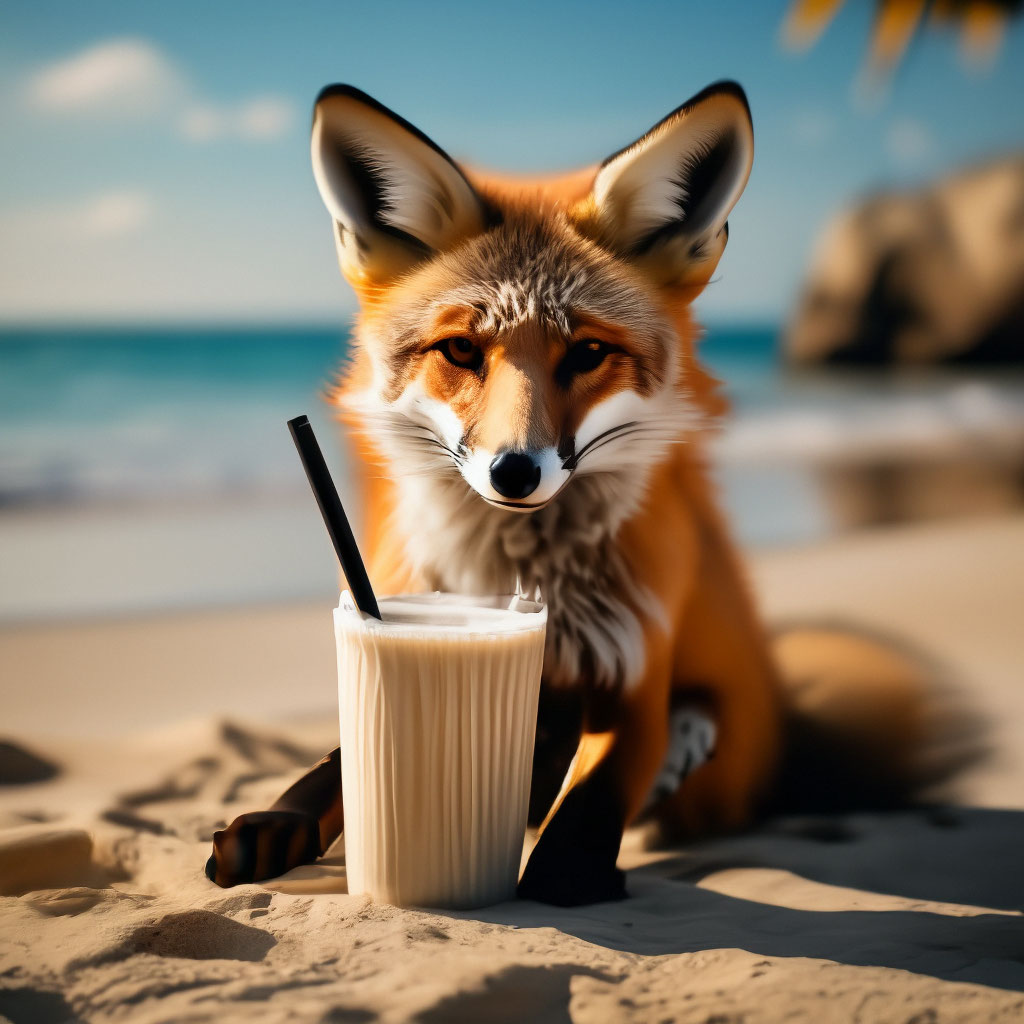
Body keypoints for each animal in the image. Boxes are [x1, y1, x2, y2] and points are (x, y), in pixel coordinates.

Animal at [206, 81, 946, 906]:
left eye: (588, 351)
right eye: (461, 350)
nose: (514, 472)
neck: (520, 585)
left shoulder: (635, 673)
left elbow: (596, 793)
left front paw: (567, 870)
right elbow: (333, 764)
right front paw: (278, 821)